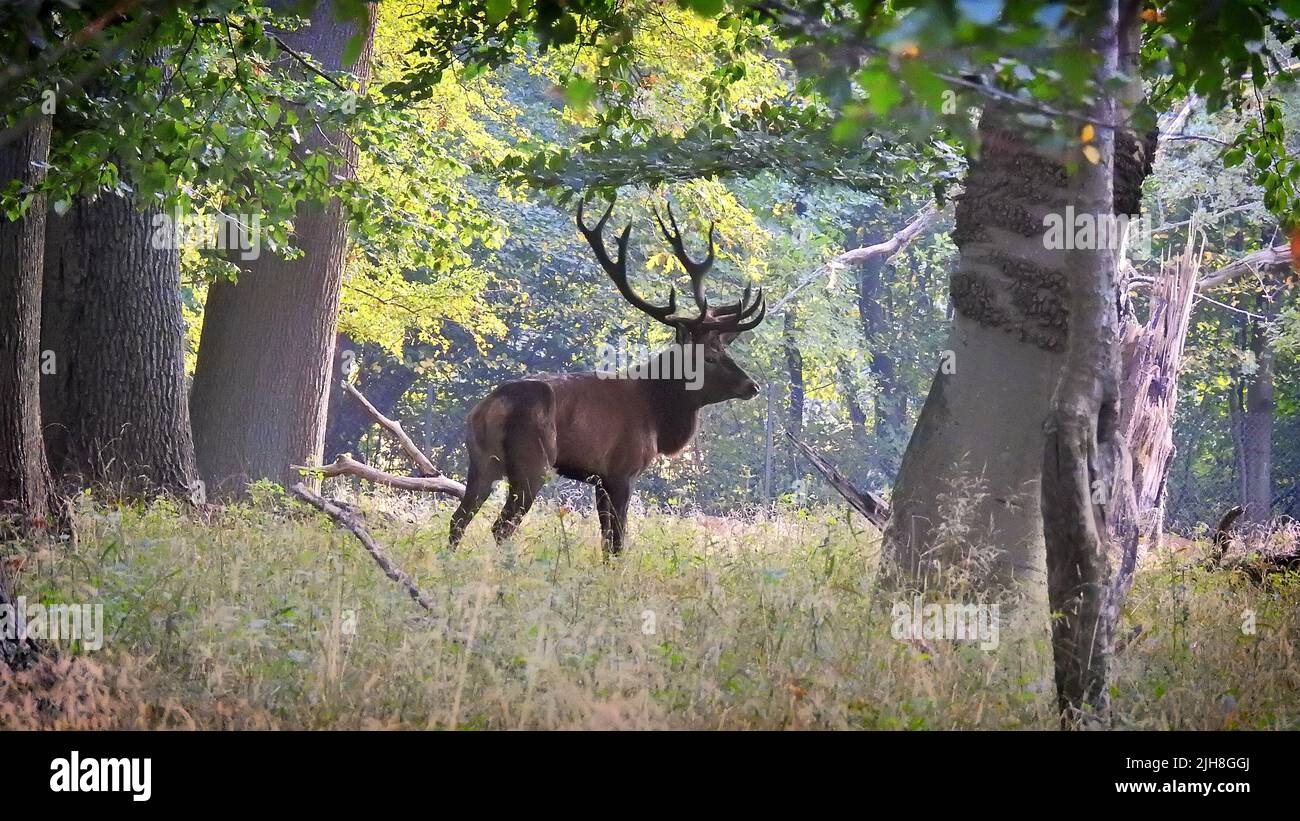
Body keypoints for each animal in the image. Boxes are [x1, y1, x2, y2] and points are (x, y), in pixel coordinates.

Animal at [447, 200, 767, 556]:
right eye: (710, 357)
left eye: (726, 350)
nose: (751, 386)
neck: (657, 415)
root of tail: (491, 406)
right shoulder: (621, 471)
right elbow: (617, 542)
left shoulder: (598, 480)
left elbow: (606, 542)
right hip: (532, 461)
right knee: (501, 526)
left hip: (480, 460)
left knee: (458, 519)